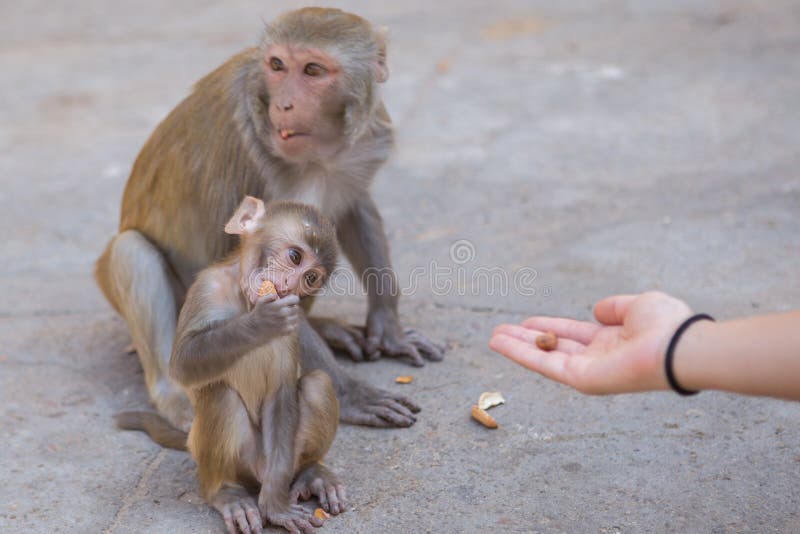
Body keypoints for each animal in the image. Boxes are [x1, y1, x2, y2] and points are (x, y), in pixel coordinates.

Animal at [95, 7, 444, 433]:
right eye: (277, 65)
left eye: (312, 70)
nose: (285, 105)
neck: (320, 152)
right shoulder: (249, 158)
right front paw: (353, 395)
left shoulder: (366, 137)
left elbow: (351, 209)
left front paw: (389, 327)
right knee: (132, 253)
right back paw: (173, 397)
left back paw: (328, 329)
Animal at [119, 196, 345, 534]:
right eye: (294, 257)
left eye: (310, 278)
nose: (290, 285)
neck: (244, 299)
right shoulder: (206, 287)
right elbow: (183, 365)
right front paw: (260, 324)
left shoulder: (292, 326)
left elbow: (281, 393)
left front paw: (275, 505)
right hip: (232, 460)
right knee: (219, 395)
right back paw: (225, 492)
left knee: (317, 384)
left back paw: (309, 473)